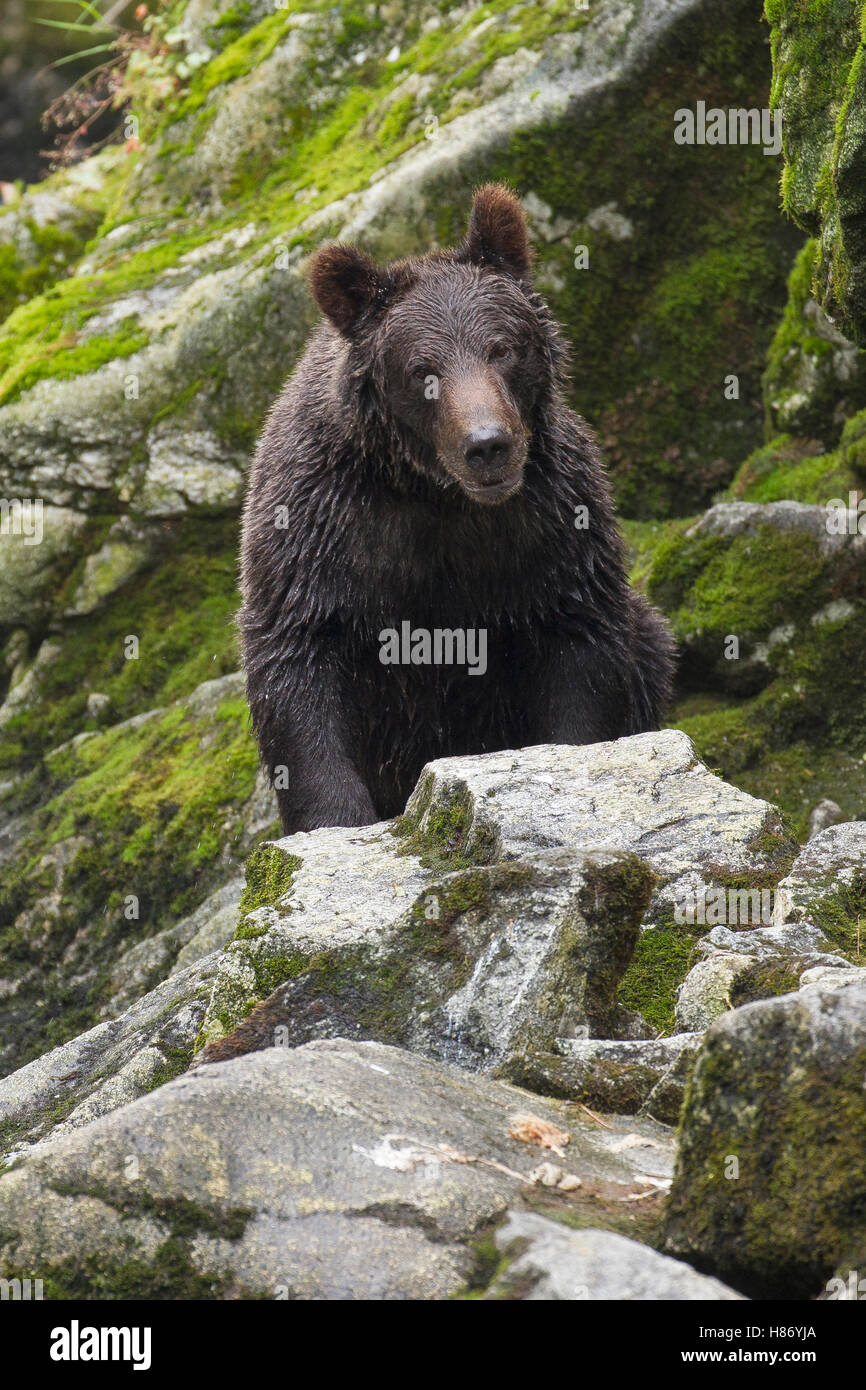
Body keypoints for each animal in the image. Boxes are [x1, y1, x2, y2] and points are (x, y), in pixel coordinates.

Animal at [240, 184, 675, 834]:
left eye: (503, 349)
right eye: (424, 370)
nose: (487, 444)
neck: (438, 497)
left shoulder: (553, 526)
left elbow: (579, 650)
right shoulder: (320, 532)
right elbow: (298, 668)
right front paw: (337, 819)